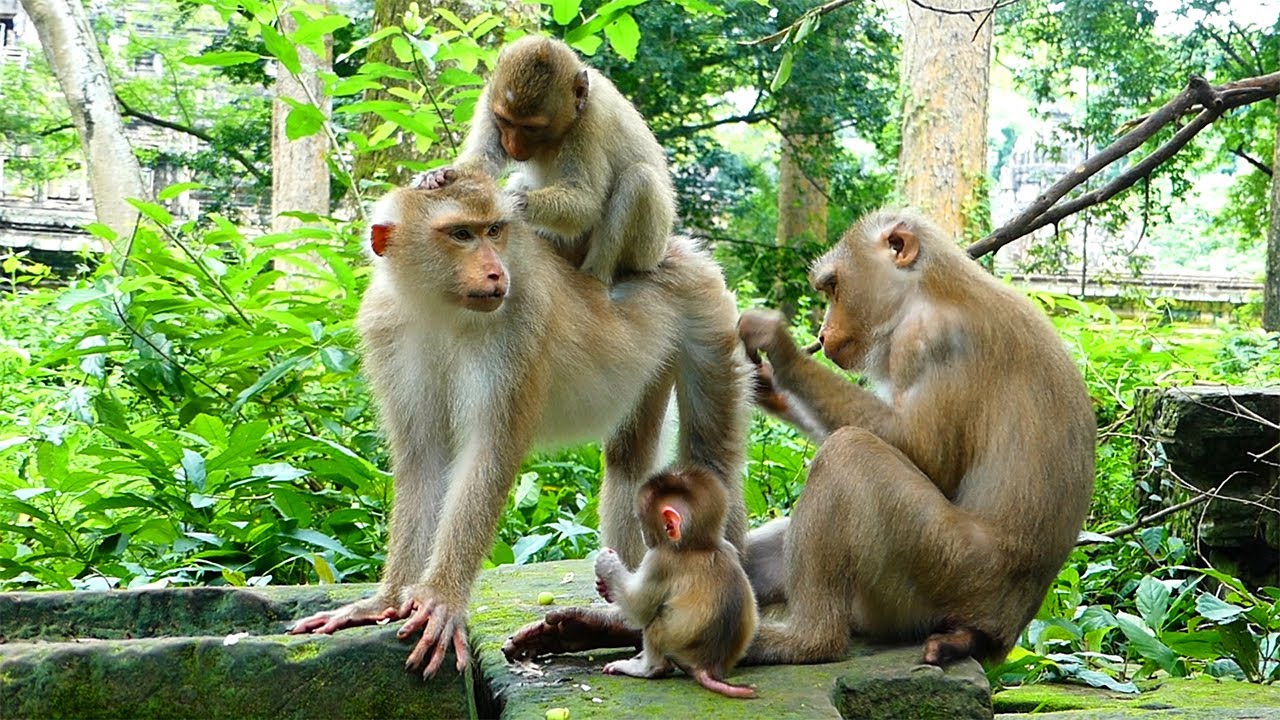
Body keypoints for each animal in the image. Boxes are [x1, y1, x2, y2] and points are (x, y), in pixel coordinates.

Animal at [288, 169, 750, 679]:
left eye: (494, 230)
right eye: (461, 234)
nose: (495, 273)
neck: (441, 309)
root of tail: (684, 249)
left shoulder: (518, 326)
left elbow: (490, 452)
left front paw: (442, 599)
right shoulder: (387, 328)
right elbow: (424, 459)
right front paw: (384, 601)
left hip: (707, 312)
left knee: (710, 460)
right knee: (630, 461)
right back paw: (616, 623)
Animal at [416, 35, 675, 285]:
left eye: (532, 128)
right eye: (505, 120)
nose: (513, 146)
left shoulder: (591, 122)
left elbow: (586, 200)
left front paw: (512, 201)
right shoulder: (489, 100)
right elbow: (484, 159)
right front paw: (440, 175)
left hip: (648, 251)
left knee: (640, 178)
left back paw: (595, 276)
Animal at [504, 209, 1094, 669]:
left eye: (832, 287)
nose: (825, 333)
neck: (933, 288)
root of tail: (1001, 628)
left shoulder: (930, 339)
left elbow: (928, 458)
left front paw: (779, 346)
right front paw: (767, 384)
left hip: (945, 572)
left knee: (850, 455)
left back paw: (804, 643)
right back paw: (619, 625)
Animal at [593, 469, 758, 699]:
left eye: (642, 520)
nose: (643, 534)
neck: (699, 546)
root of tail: (706, 665)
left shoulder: (659, 560)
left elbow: (638, 609)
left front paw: (607, 563)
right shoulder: (728, 547)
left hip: (673, 641)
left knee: (654, 624)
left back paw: (649, 668)